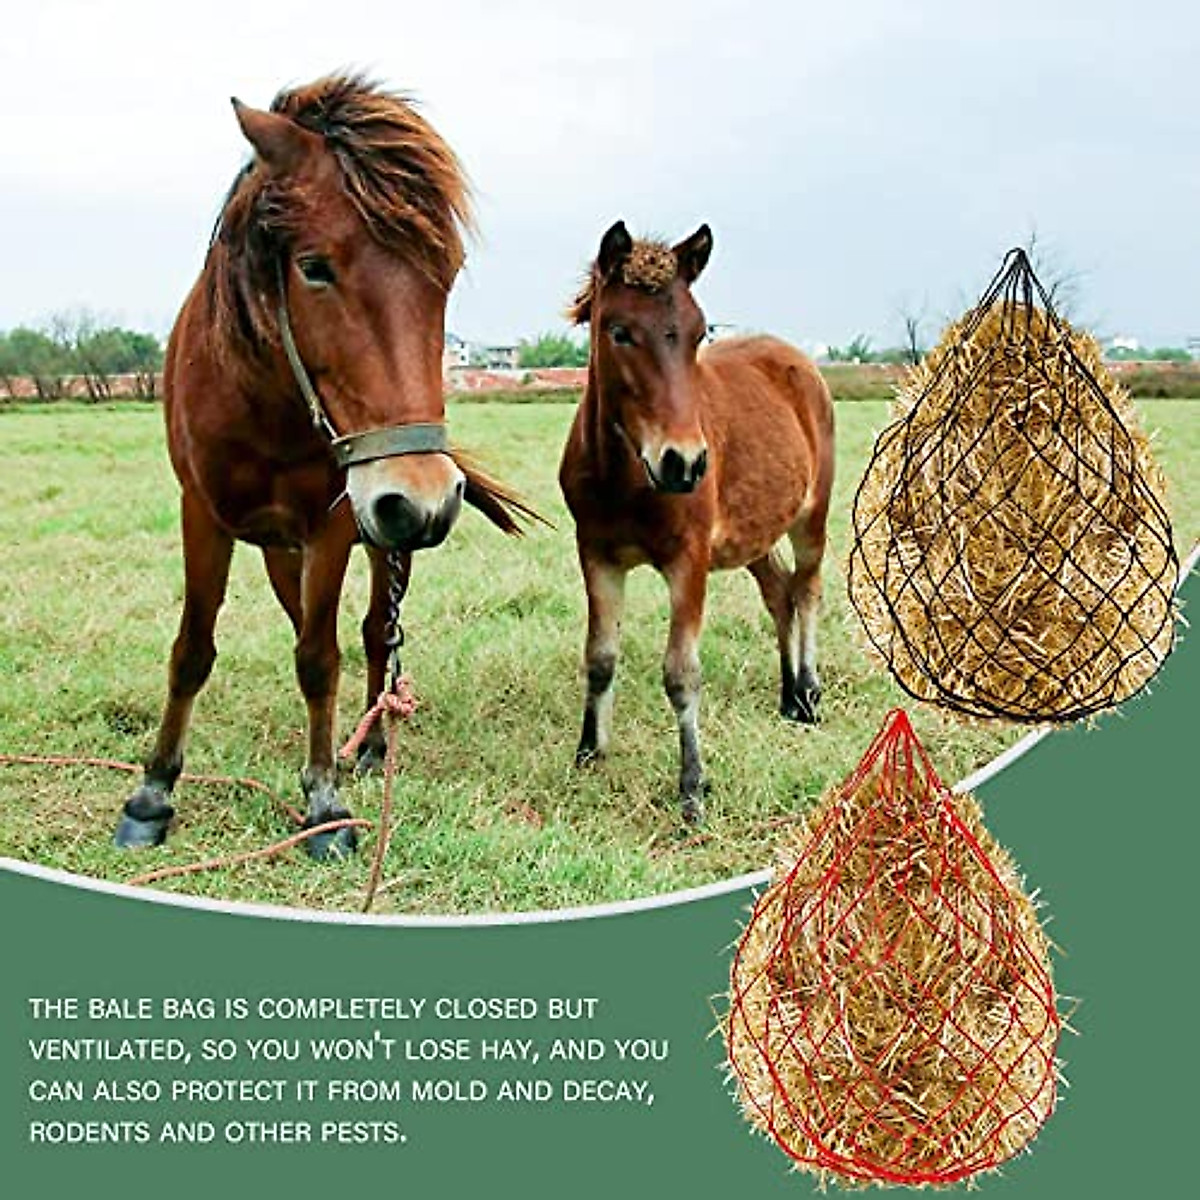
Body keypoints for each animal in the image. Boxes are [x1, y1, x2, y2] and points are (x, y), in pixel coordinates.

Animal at [114, 74, 532, 859]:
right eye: (314, 268)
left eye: (446, 275)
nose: (424, 498)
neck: (264, 399)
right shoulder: (202, 514)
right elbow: (193, 648)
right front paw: (153, 794)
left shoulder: (336, 524)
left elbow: (320, 654)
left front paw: (324, 802)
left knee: (372, 633)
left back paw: (370, 744)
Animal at [558, 221, 835, 823]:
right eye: (619, 331)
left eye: (698, 332)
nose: (683, 463)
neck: (626, 474)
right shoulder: (596, 554)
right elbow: (600, 657)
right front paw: (589, 751)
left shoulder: (689, 560)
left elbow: (681, 673)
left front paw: (692, 787)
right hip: (755, 536)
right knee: (779, 594)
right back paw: (787, 695)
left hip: (812, 517)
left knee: (806, 590)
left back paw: (807, 693)